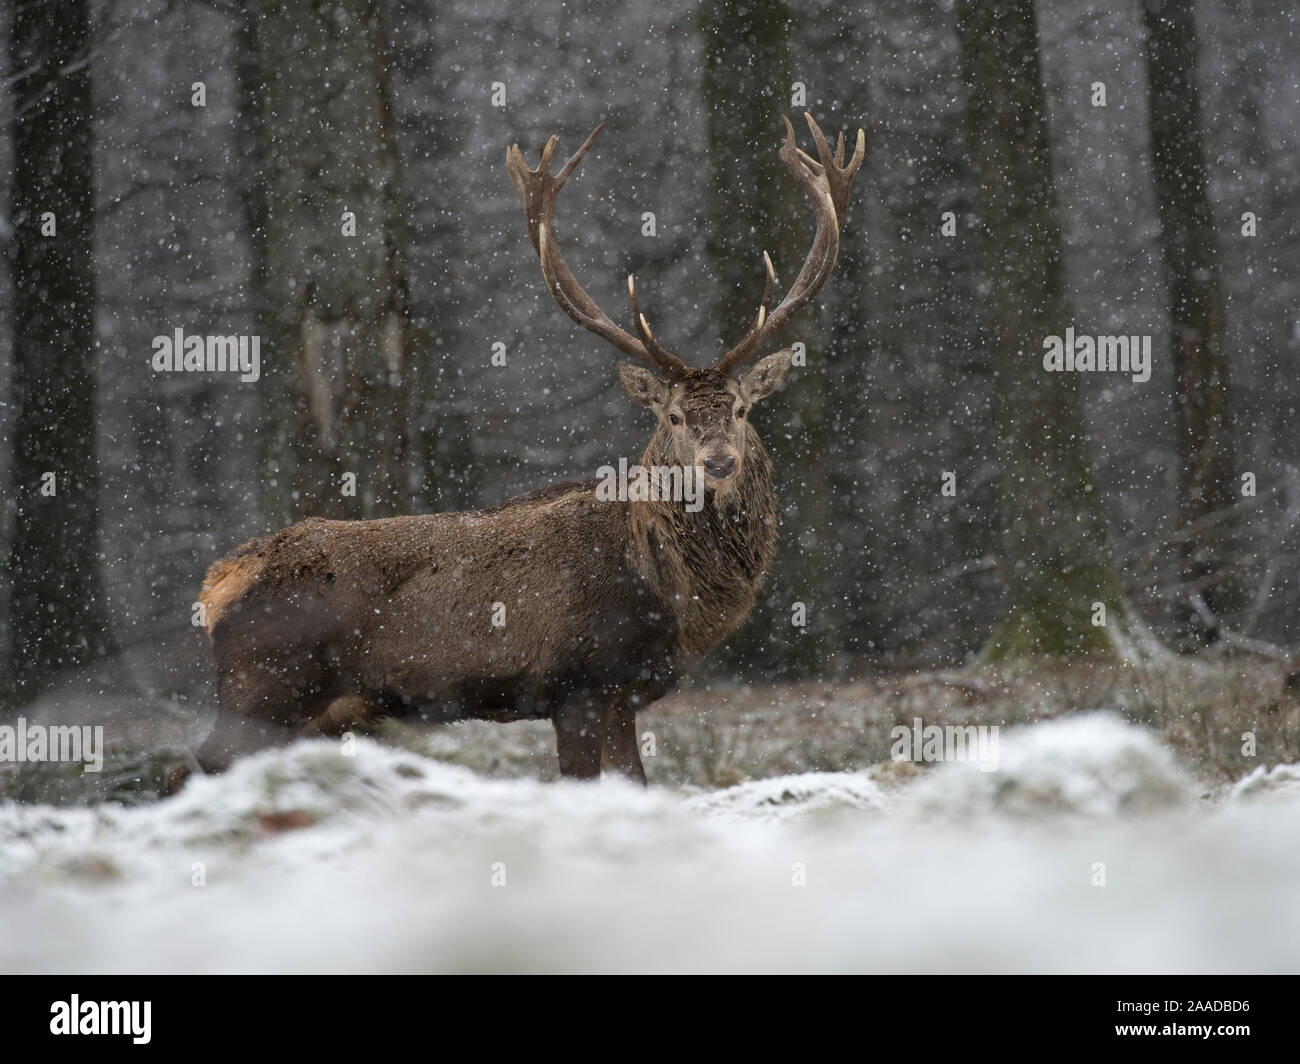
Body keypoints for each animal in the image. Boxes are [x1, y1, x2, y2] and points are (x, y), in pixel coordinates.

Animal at [165, 114, 864, 794]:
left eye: (742, 410)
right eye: (673, 416)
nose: (718, 462)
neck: (667, 590)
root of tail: (220, 581)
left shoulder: (622, 695)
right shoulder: (576, 682)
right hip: (265, 688)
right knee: (190, 765)